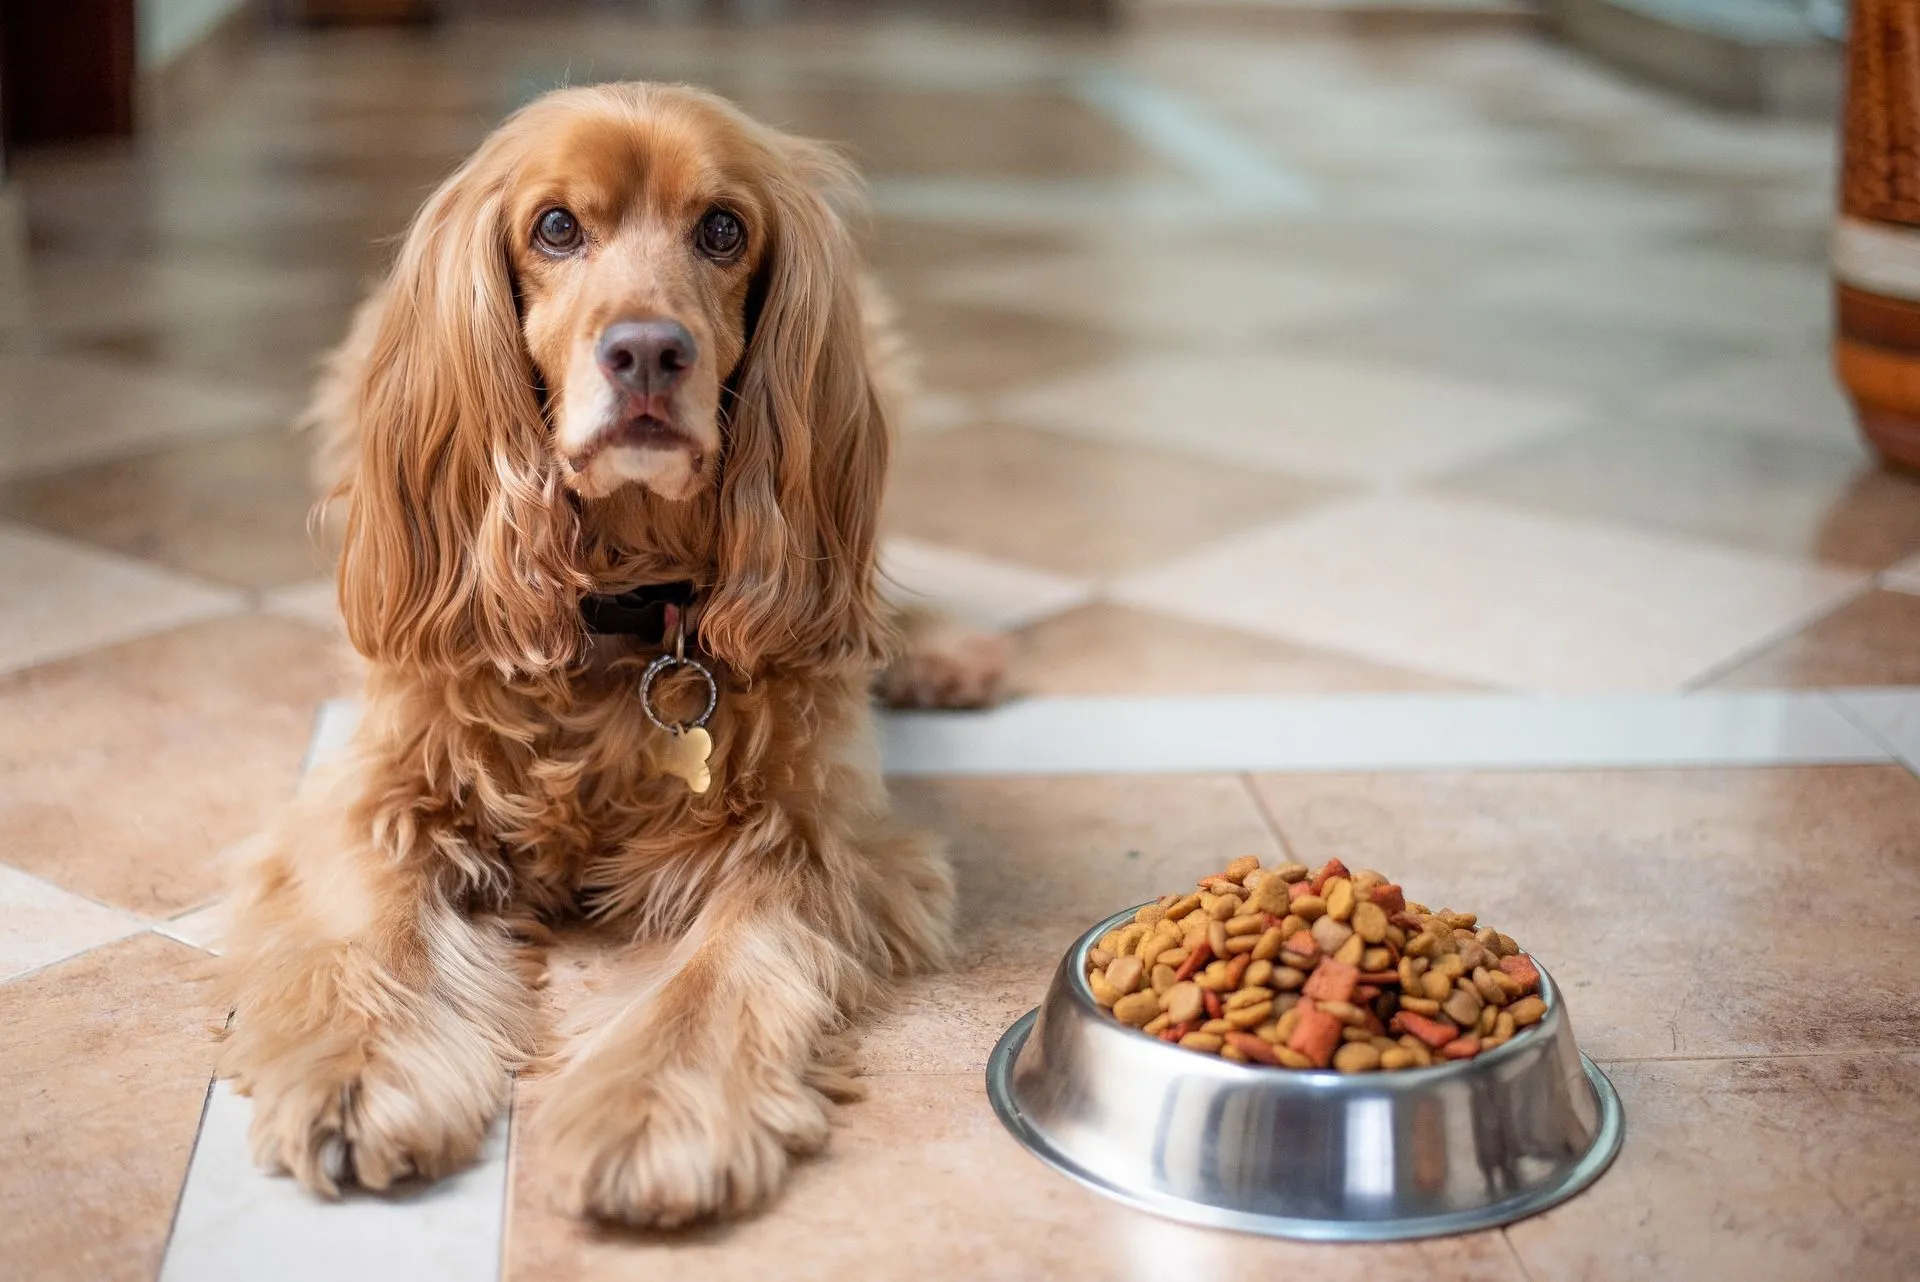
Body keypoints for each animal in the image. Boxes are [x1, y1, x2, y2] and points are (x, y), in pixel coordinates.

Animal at [220, 82, 1006, 1228]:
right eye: (556, 228)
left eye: (722, 229)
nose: (645, 352)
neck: (622, 611)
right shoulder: (378, 792)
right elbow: (379, 927)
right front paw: (360, 1075)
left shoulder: (816, 840)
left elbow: (717, 974)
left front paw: (652, 1115)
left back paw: (939, 650)